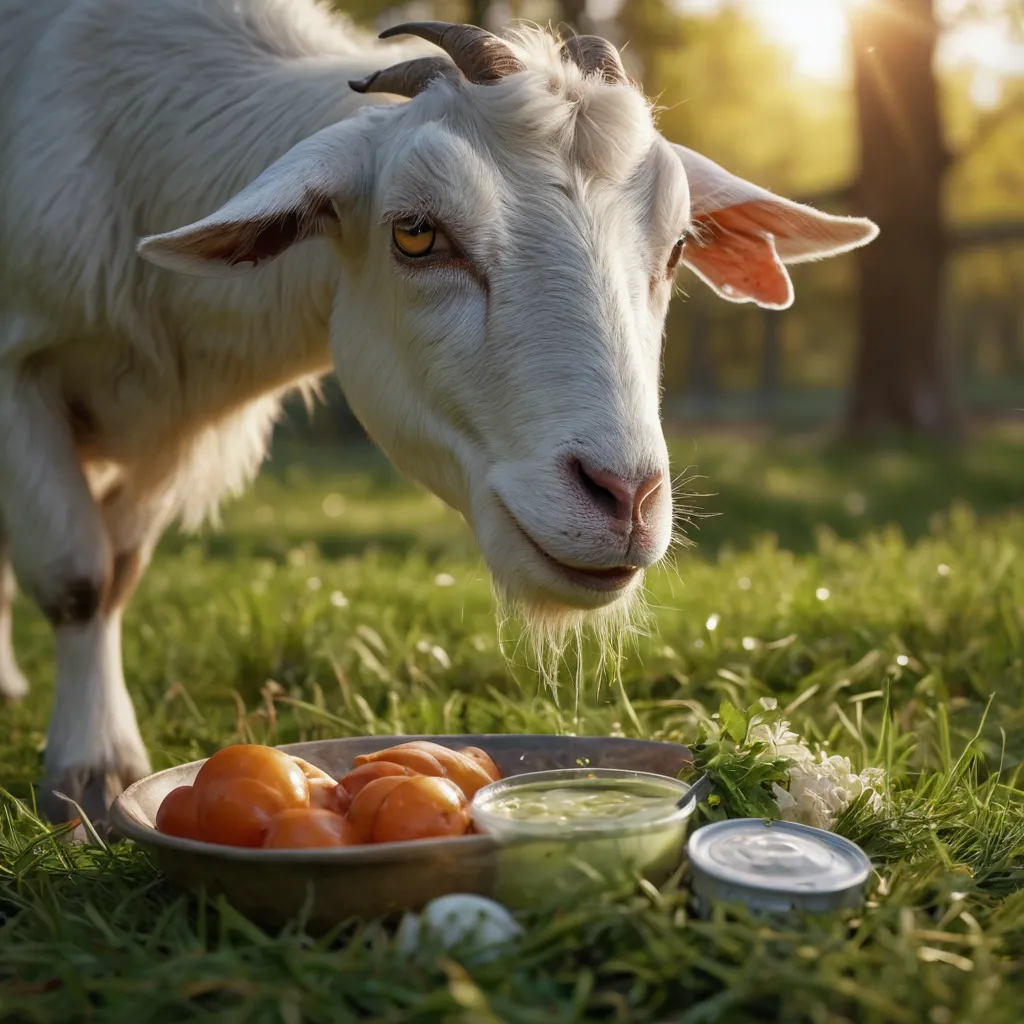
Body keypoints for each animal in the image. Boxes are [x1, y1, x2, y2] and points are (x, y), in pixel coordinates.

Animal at [0, 0, 878, 827]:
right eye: (417, 234)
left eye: (678, 248)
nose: (625, 497)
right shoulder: (19, 375)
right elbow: (79, 579)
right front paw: (90, 774)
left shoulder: (173, 443)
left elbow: (116, 572)